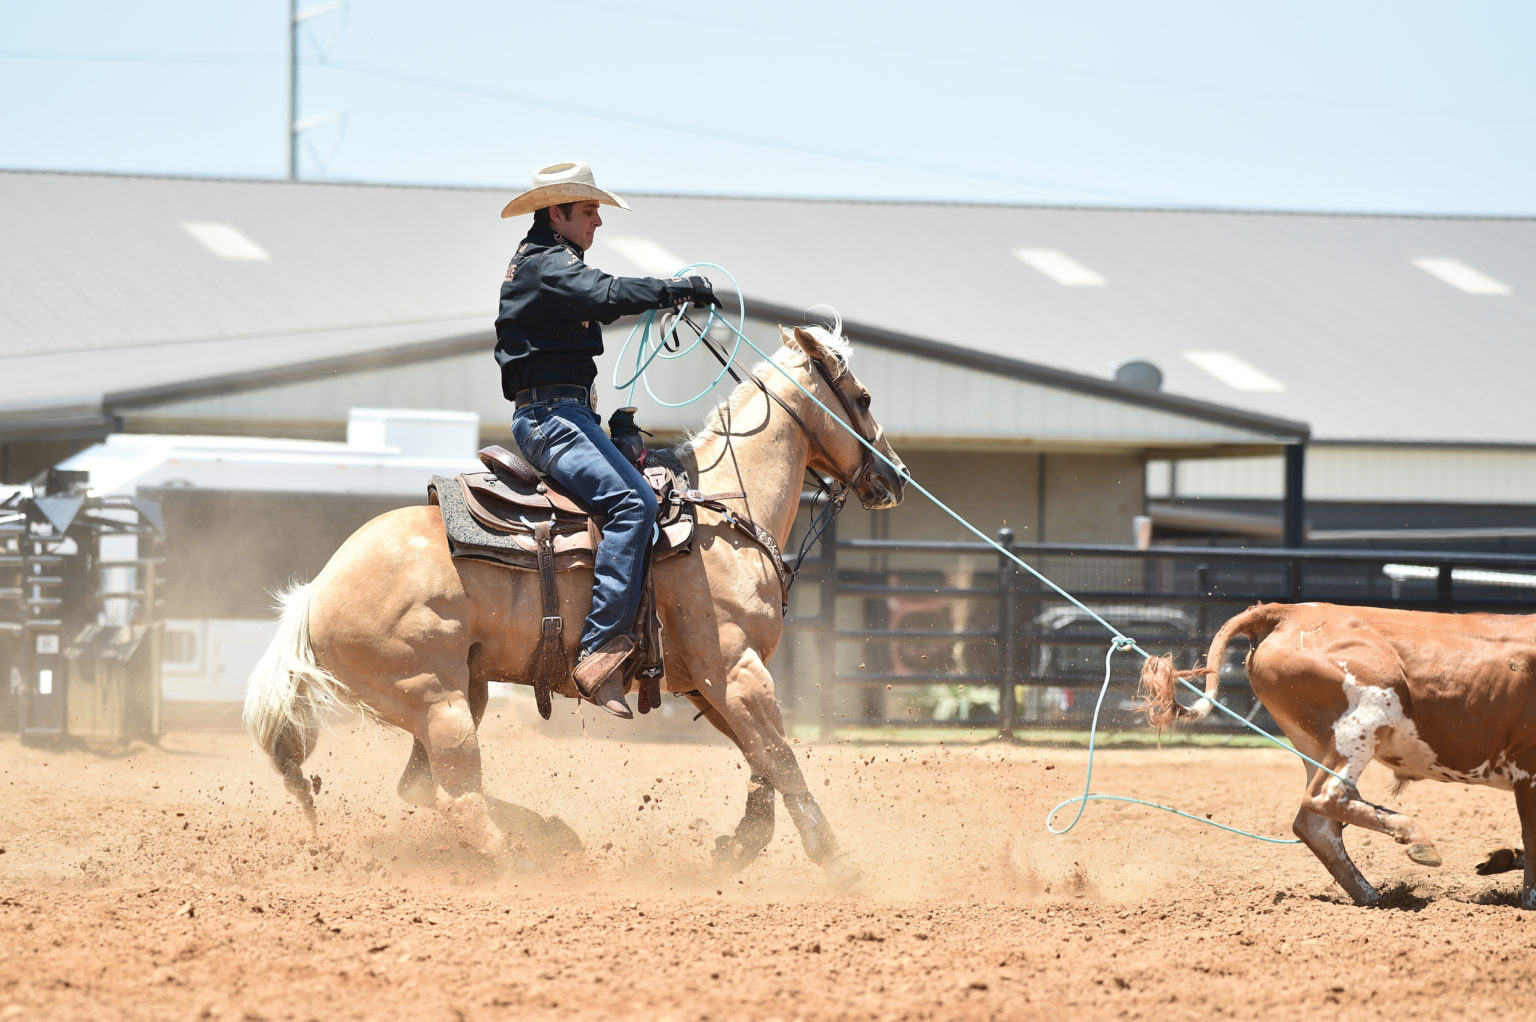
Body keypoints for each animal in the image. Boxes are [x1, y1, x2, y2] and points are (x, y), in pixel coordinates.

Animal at [1139, 601, 1536, 908]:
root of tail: (1286, 612)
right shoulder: (1527, 768)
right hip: (1369, 711)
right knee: (1326, 796)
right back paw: (1414, 839)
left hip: (1316, 742)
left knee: (1315, 822)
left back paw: (1373, 895)